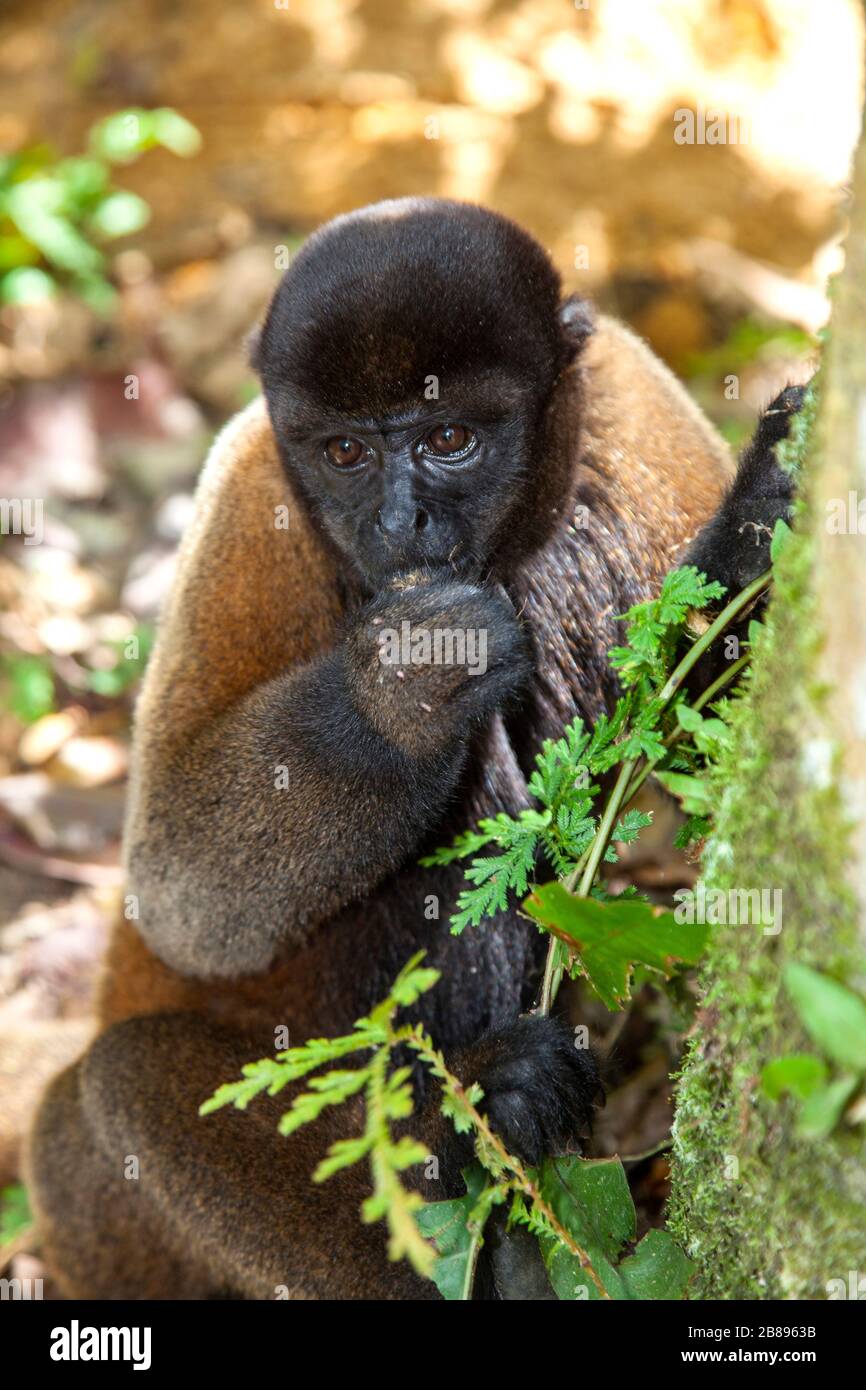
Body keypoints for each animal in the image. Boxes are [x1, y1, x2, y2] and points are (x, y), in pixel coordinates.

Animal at [24, 198, 803, 1301]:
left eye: (447, 438)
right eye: (345, 454)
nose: (400, 521)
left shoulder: (627, 397)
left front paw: (752, 527)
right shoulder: (251, 495)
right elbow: (180, 897)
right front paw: (400, 694)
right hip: (104, 1218)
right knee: (123, 1078)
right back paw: (475, 1135)